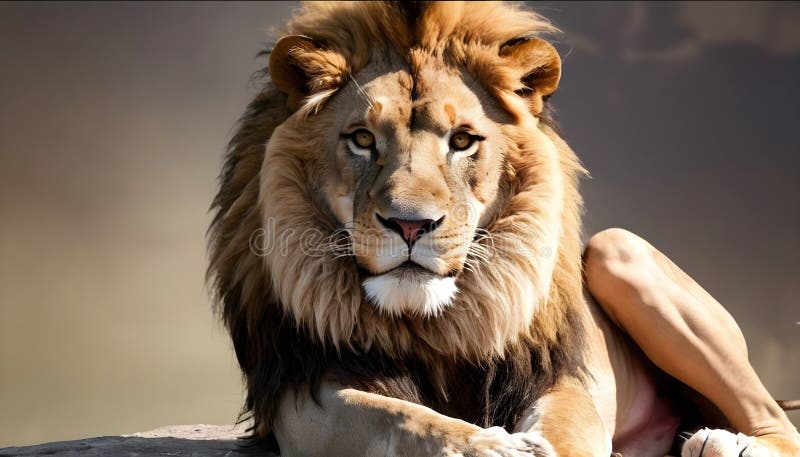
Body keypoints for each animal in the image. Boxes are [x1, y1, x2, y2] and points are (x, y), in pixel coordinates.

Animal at [207, 2, 800, 456]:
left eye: (462, 141)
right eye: (362, 139)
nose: (409, 225)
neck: (434, 326)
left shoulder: (562, 378)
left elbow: (564, 430)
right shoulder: (304, 390)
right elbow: (400, 417)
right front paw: (491, 444)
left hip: (618, 248)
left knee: (777, 423)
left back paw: (726, 443)